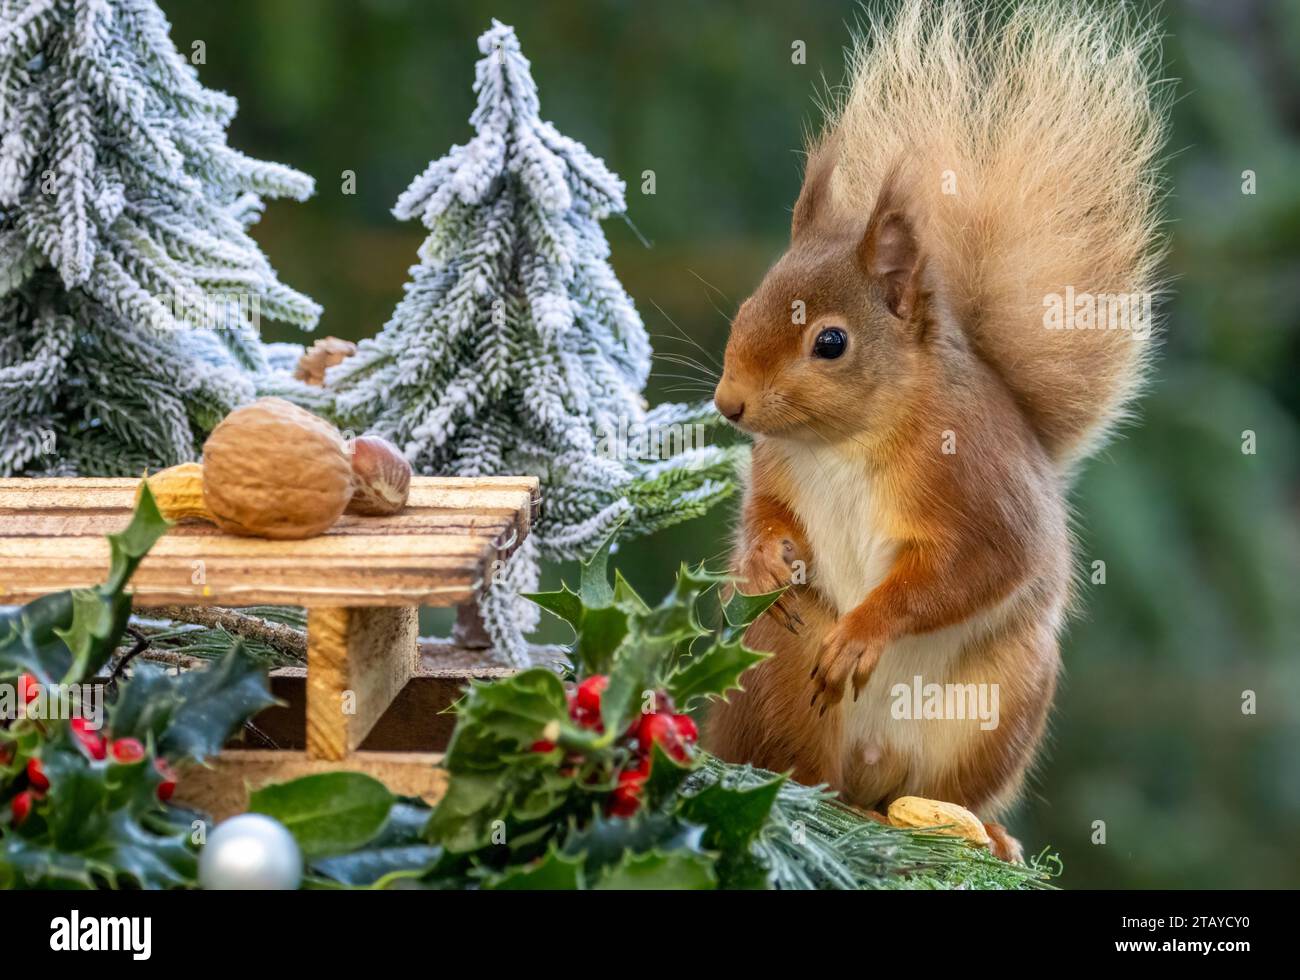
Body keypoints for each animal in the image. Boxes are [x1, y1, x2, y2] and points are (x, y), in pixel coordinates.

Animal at [705, 0, 1168, 862]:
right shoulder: (779, 466)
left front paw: (867, 629)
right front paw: (759, 561)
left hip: (997, 702)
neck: (847, 441)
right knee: (794, 758)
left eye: (830, 342)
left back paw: (977, 828)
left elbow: (973, 568)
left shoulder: (978, 484)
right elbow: (764, 514)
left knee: (934, 791)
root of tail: (867, 770)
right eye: (748, 306)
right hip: (776, 663)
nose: (729, 405)